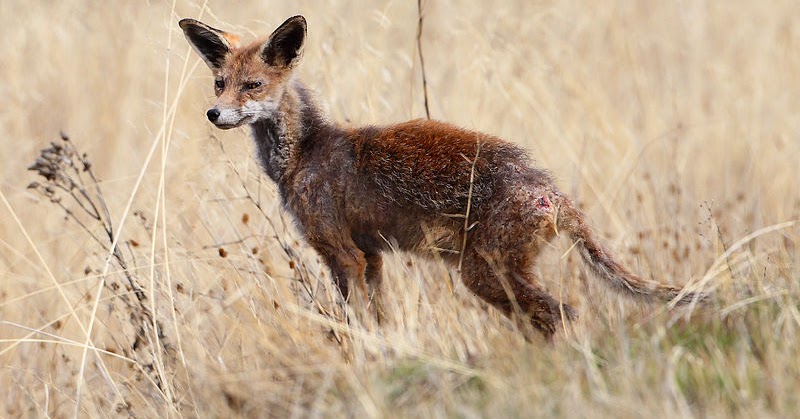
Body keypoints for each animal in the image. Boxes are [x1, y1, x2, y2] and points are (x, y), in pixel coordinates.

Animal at [179, 15, 706, 339]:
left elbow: (359, 325)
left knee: (563, 314)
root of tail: (553, 191)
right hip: (495, 279)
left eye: (253, 86)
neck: (304, 152)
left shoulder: (343, 254)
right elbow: (382, 320)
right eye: (219, 84)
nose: (213, 114)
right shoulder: (371, 257)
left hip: (483, 275)